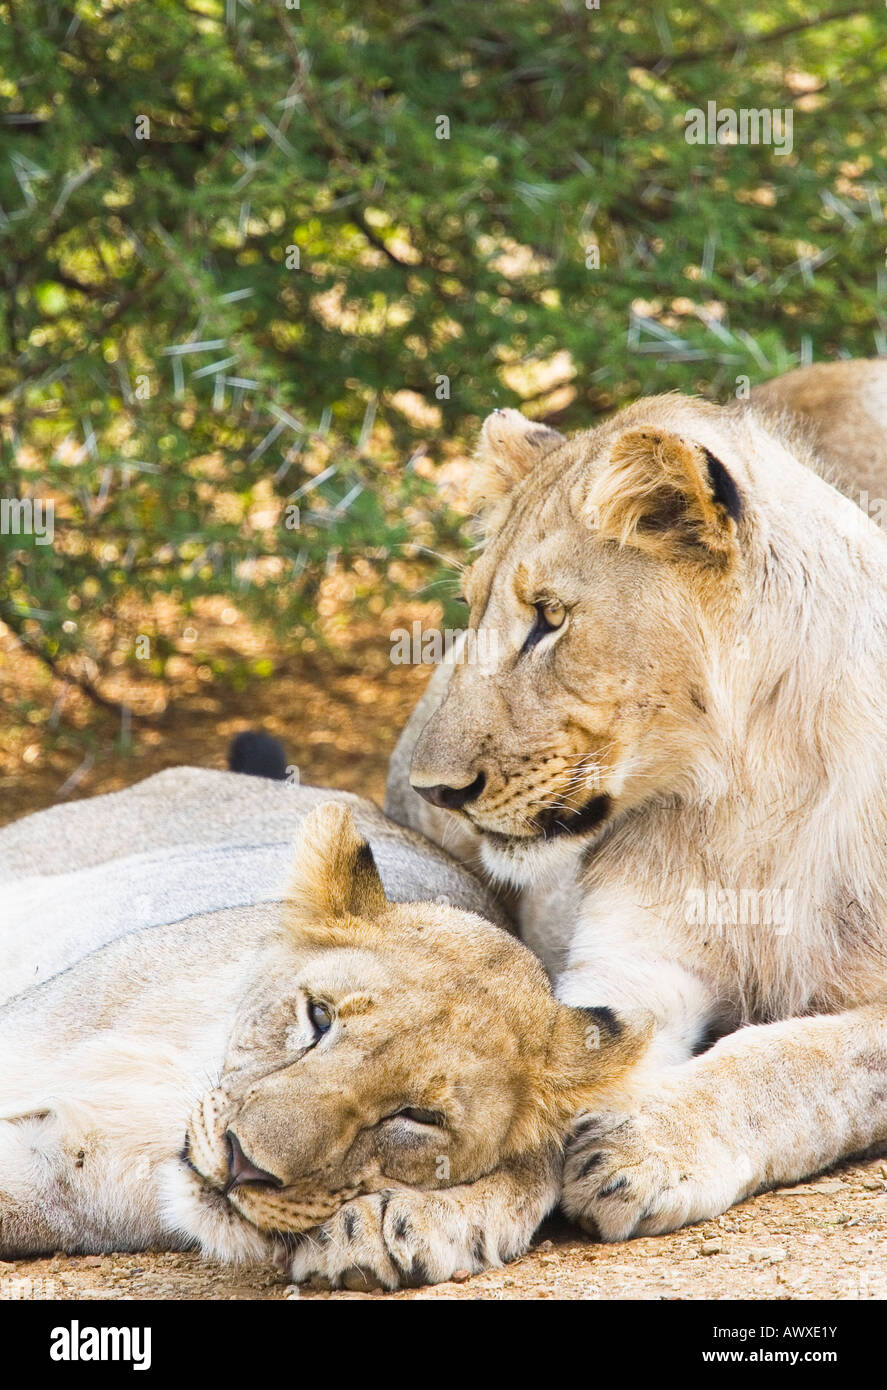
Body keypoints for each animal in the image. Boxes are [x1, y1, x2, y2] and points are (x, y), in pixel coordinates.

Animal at [386, 358, 887, 1242]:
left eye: (548, 618)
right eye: (471, 610)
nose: (436, 789)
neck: (751, 785)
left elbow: (798, 1057)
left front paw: (643, 1147)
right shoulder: (633, 958)